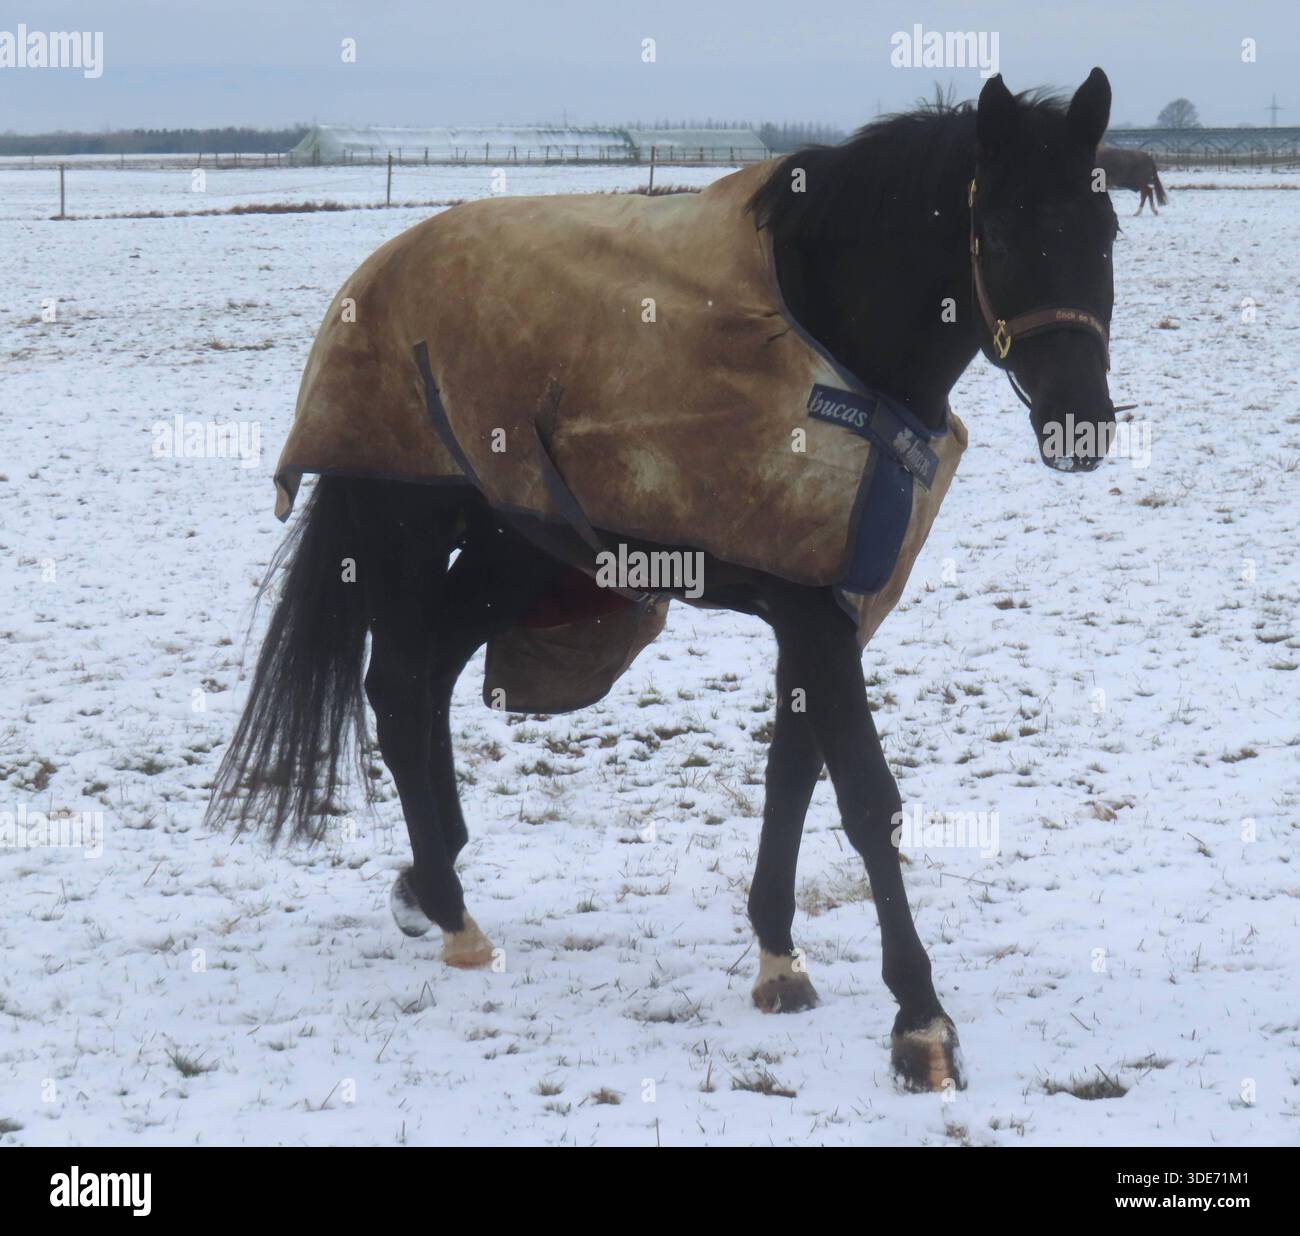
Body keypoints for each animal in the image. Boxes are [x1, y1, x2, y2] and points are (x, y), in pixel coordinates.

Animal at [207, 69, 1120, 1094]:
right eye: (996, 232)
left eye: (1106, 226)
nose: (1079, 420)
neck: (829, 335)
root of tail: (372, 279)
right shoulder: (813, 612)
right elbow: (865, 797)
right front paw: (920, 1022)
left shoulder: (823, 610)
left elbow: (792, 774)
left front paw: (778, 959)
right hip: (404, 530)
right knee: (400, 690)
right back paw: (452, 913)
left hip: (511, 550)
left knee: (428, 680)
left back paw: (428, 883)